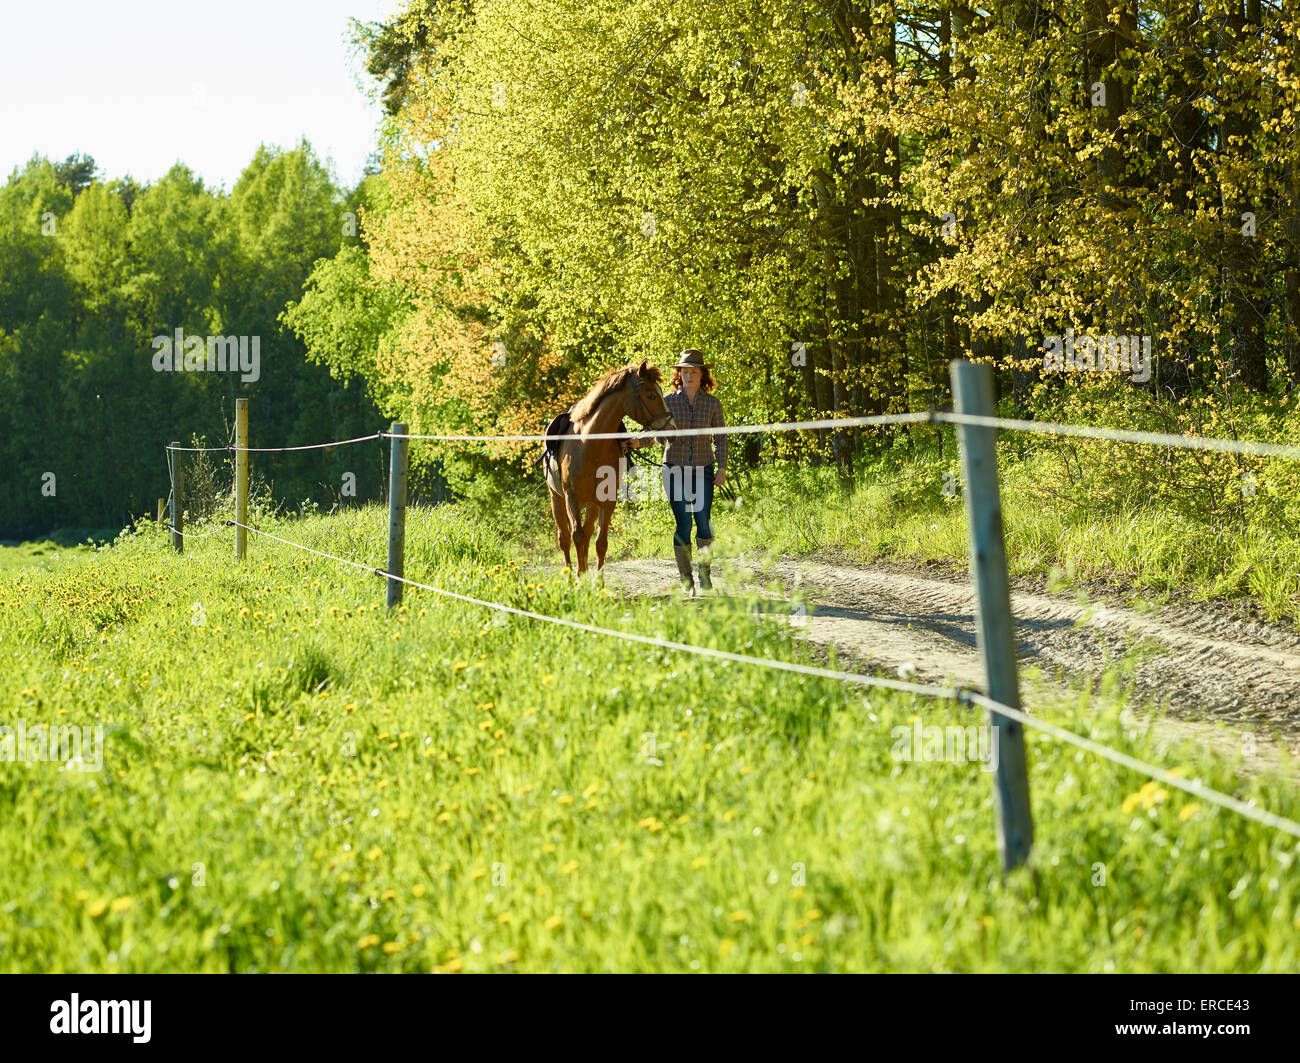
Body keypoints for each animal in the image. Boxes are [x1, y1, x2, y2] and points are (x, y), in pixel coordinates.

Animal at [542, 359, 675, 576]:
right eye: (650, 395)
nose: (672, 429)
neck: (589, 445)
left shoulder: (607, 499)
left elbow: (600, 542)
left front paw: (596, 581)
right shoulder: (572, 497)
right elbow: (576, 536)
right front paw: (579, 577)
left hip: (592, 503)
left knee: (587, 533)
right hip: (557, 498)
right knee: (564, 538)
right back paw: (571, 574)